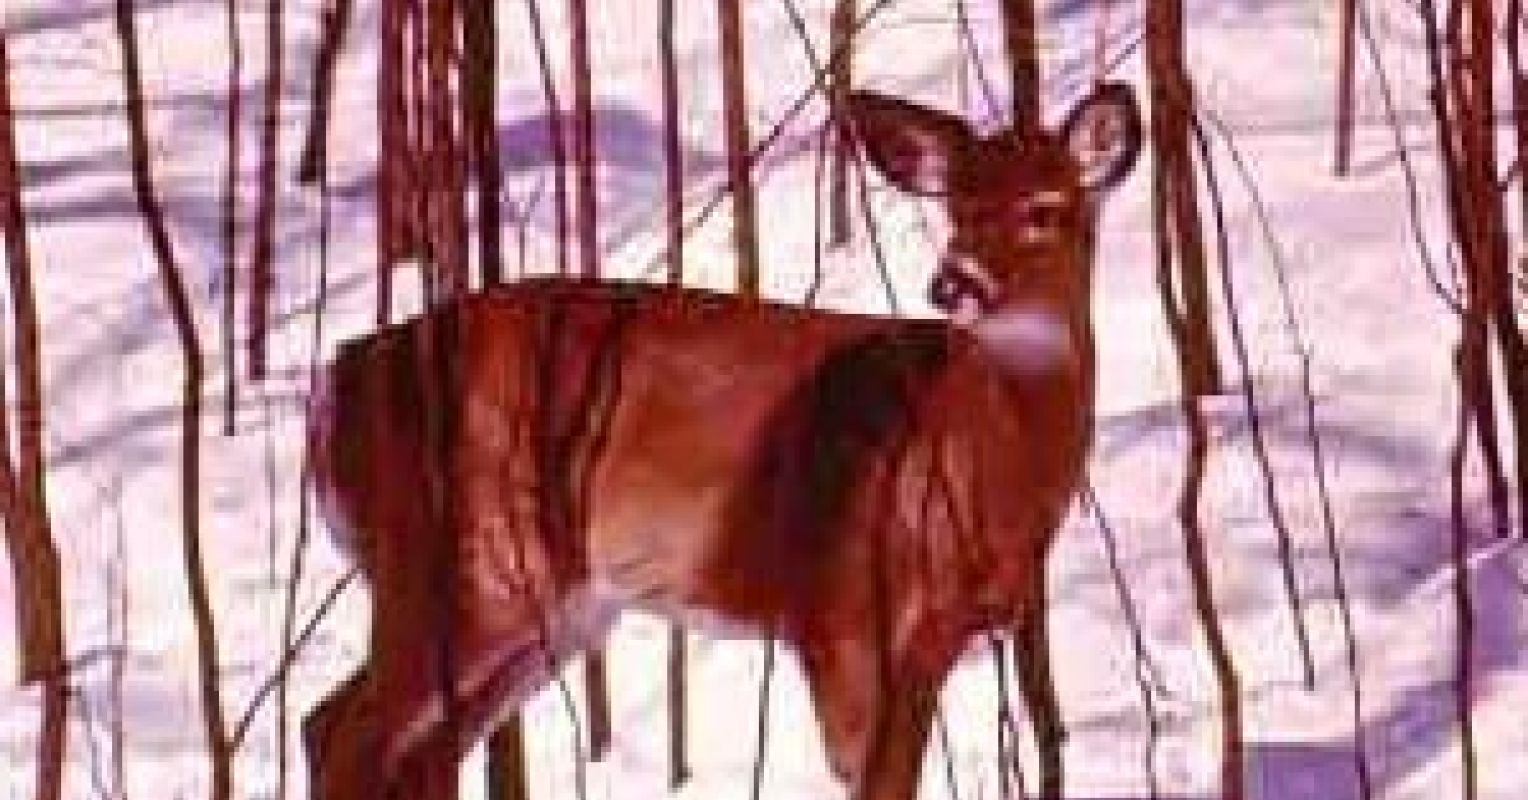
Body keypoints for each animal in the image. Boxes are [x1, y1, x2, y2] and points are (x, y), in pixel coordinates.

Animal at [303, 81, 1142, 800]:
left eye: (1044, 209)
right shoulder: (842, 610)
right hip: (461, 557)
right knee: (343, 729)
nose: (954, 283)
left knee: (412, 747)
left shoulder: (936, 643)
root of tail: (339, 380)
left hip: (554, 605)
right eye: (957, 211)